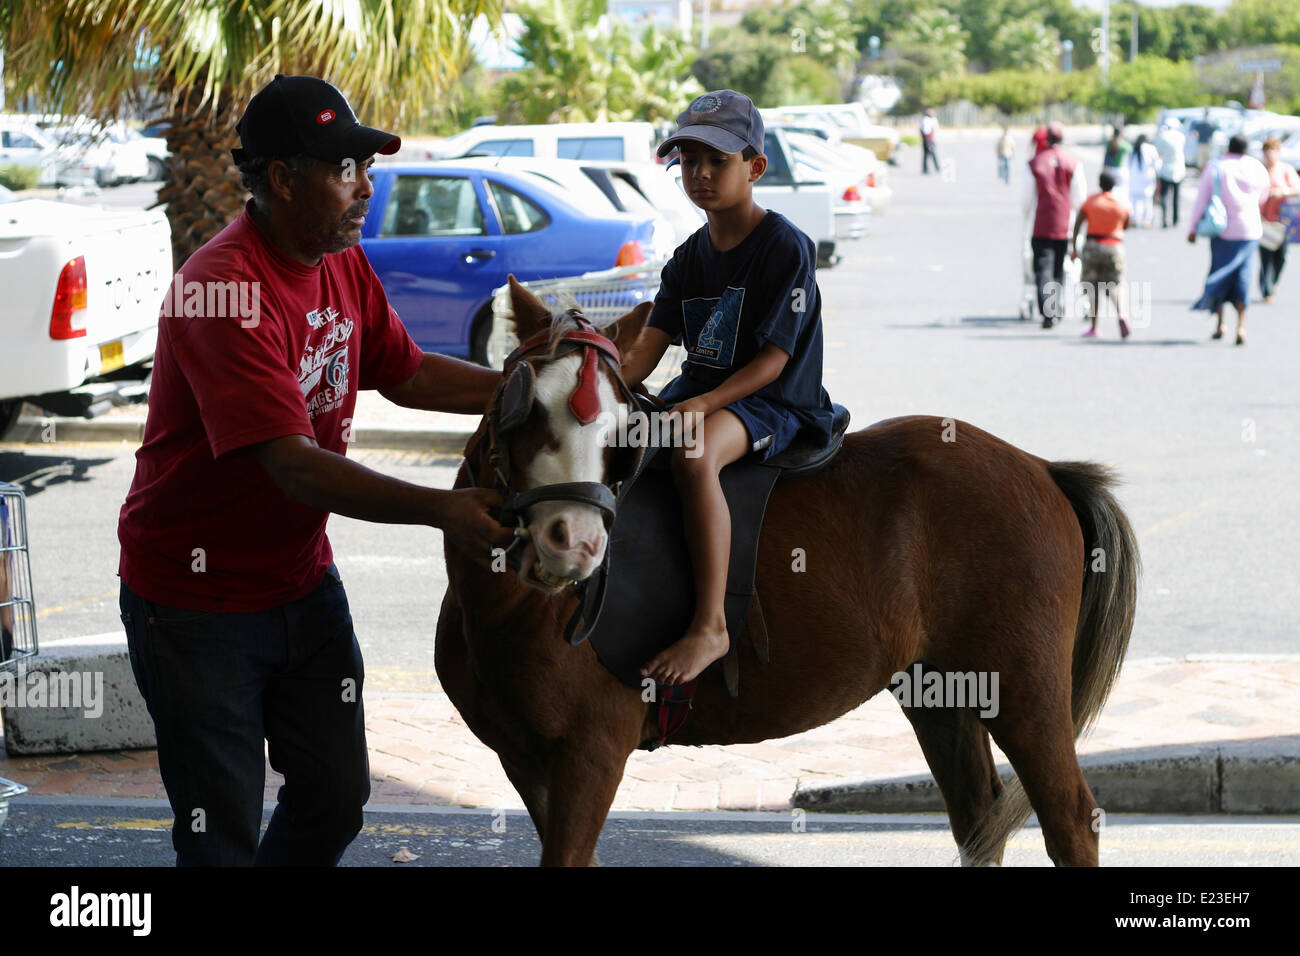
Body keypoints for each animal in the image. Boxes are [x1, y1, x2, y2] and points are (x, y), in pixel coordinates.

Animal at [434, 276, 1140, 866]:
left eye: (622, 427)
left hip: (1023, 691)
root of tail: (1042, 468)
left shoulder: (590, 755)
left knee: (1070, 820)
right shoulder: (526, 762)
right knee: (977, 817)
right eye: (524, 405)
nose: (573, 542)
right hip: (940, 689)